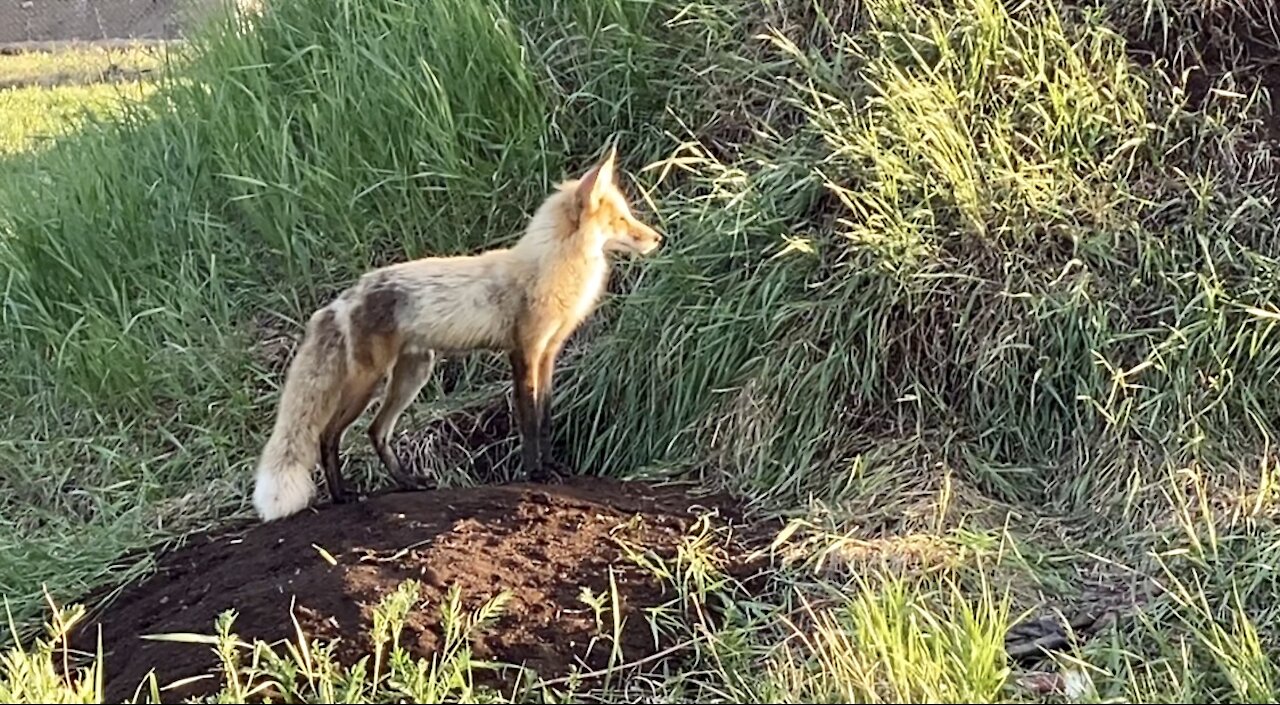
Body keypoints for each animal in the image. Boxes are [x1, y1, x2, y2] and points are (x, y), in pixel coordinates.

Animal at [251, 146, 664, 522]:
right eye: (621, 220)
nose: (657, 238)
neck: (548, 270)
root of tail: (348, 294)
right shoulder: (524, 352)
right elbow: (529, 420)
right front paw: (535, 473)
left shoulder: (548, 354)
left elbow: (545, 419)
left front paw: (551, 468)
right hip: (368, 381)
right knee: (329, 434)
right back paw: (342, 495)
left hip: (413, 374)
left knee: (375, 432)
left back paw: (407, 483)